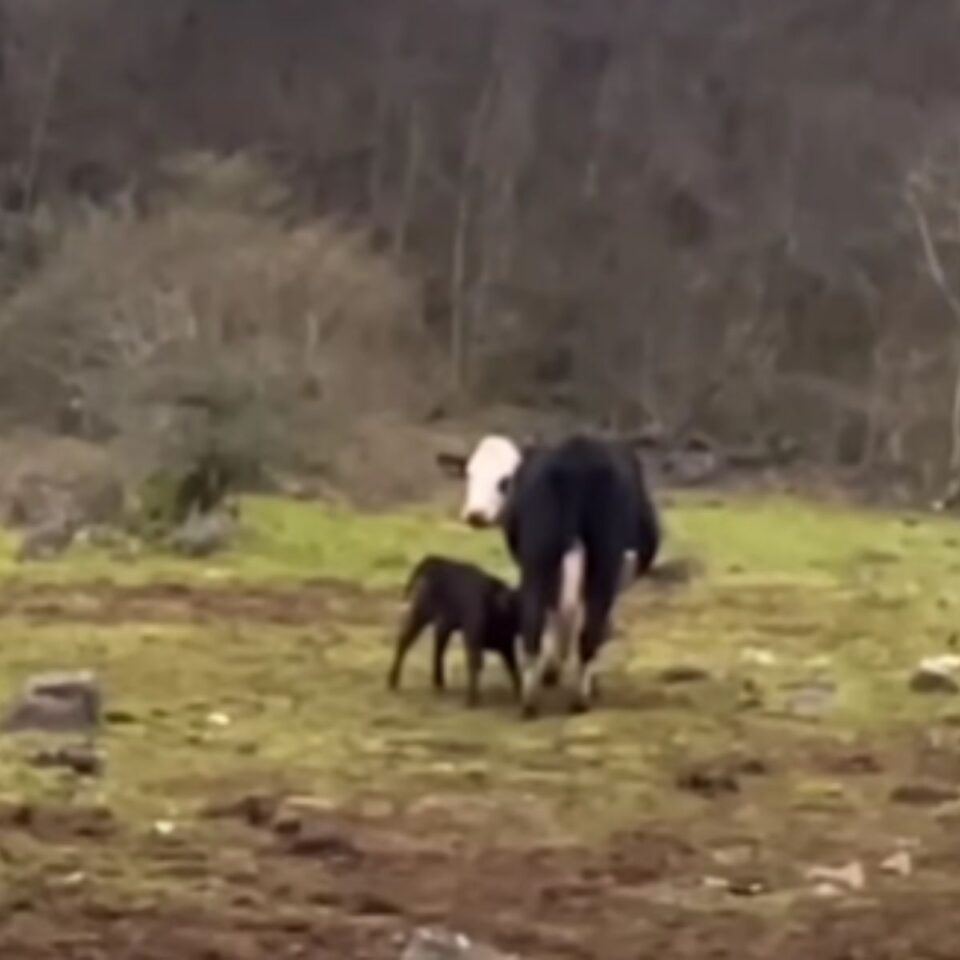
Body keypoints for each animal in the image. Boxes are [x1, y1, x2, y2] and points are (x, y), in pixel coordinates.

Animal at [386, 554, 521, 707]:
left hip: (443, 624)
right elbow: (476, 662)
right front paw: (471, 699)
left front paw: (518, 692)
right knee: (405, 641)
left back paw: (438, 682)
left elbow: (513, 666)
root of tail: (433, 562)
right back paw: (393, 680)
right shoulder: (473, 633)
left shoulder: (506, 645)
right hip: (420, 615)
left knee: (437, 648)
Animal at [437, 432, 661, 718]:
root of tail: (579, 454)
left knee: (540, 621)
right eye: (470, 473)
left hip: (542, 555)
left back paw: (533, 698)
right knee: (581, 626)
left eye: (505, 480)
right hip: (593, 556)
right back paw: (572, 695)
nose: (476, 515)